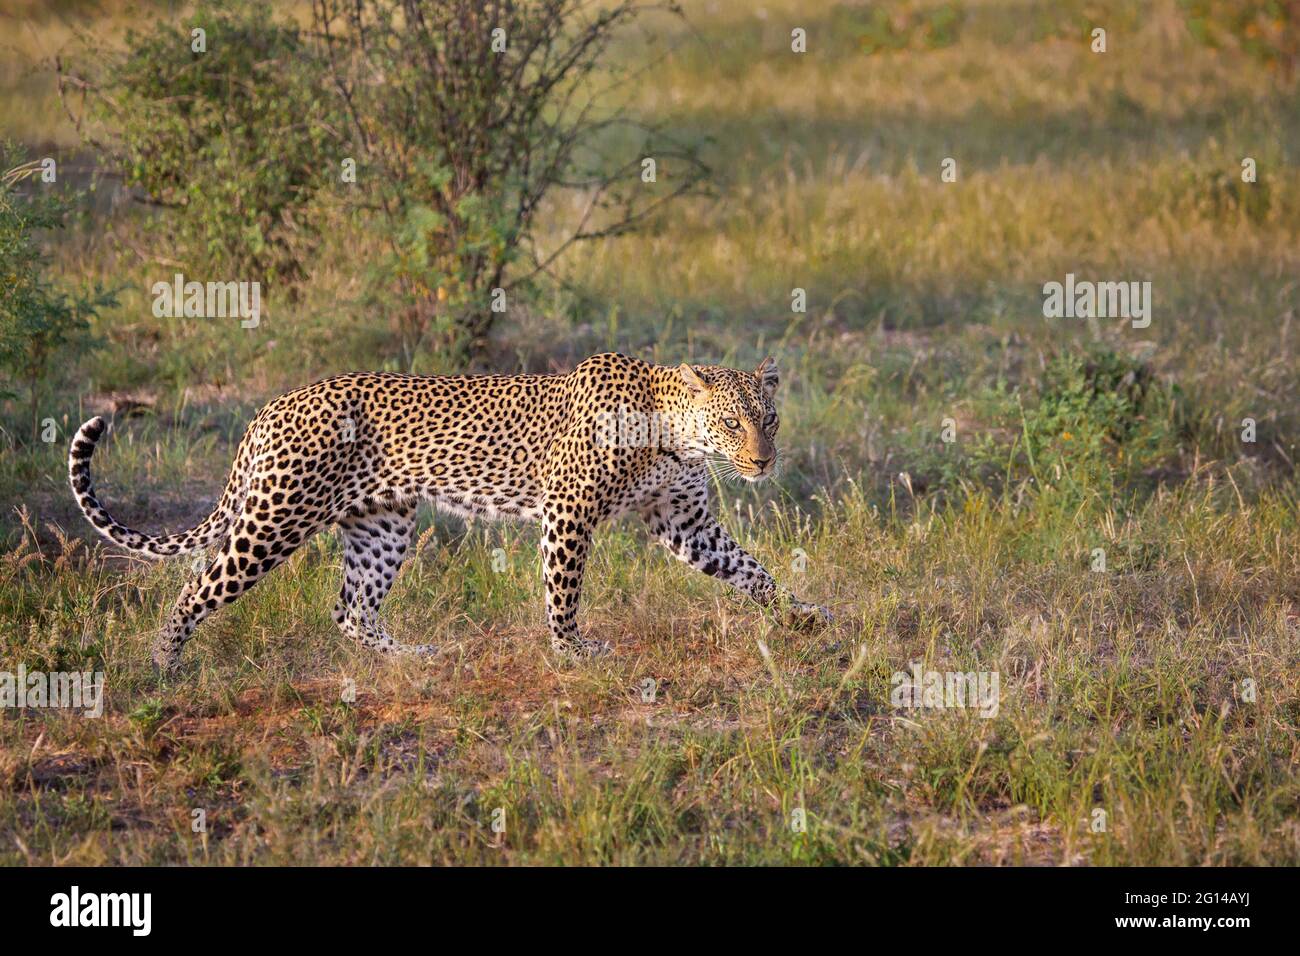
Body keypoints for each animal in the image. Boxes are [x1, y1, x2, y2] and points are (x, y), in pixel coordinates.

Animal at [68, 351, 831, 672]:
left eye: (770, 419)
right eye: (732, 423)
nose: (763, 461)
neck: (672, 435)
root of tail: (270, 407)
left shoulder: (684, 523)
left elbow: (751, 570)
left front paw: (799, 616)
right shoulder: (569, 512)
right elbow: (563, 591)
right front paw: (572, 651)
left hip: (381, 524)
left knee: (350, 609)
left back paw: (414, 658)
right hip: (276, 517)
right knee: (199, 585)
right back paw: (162, 663)